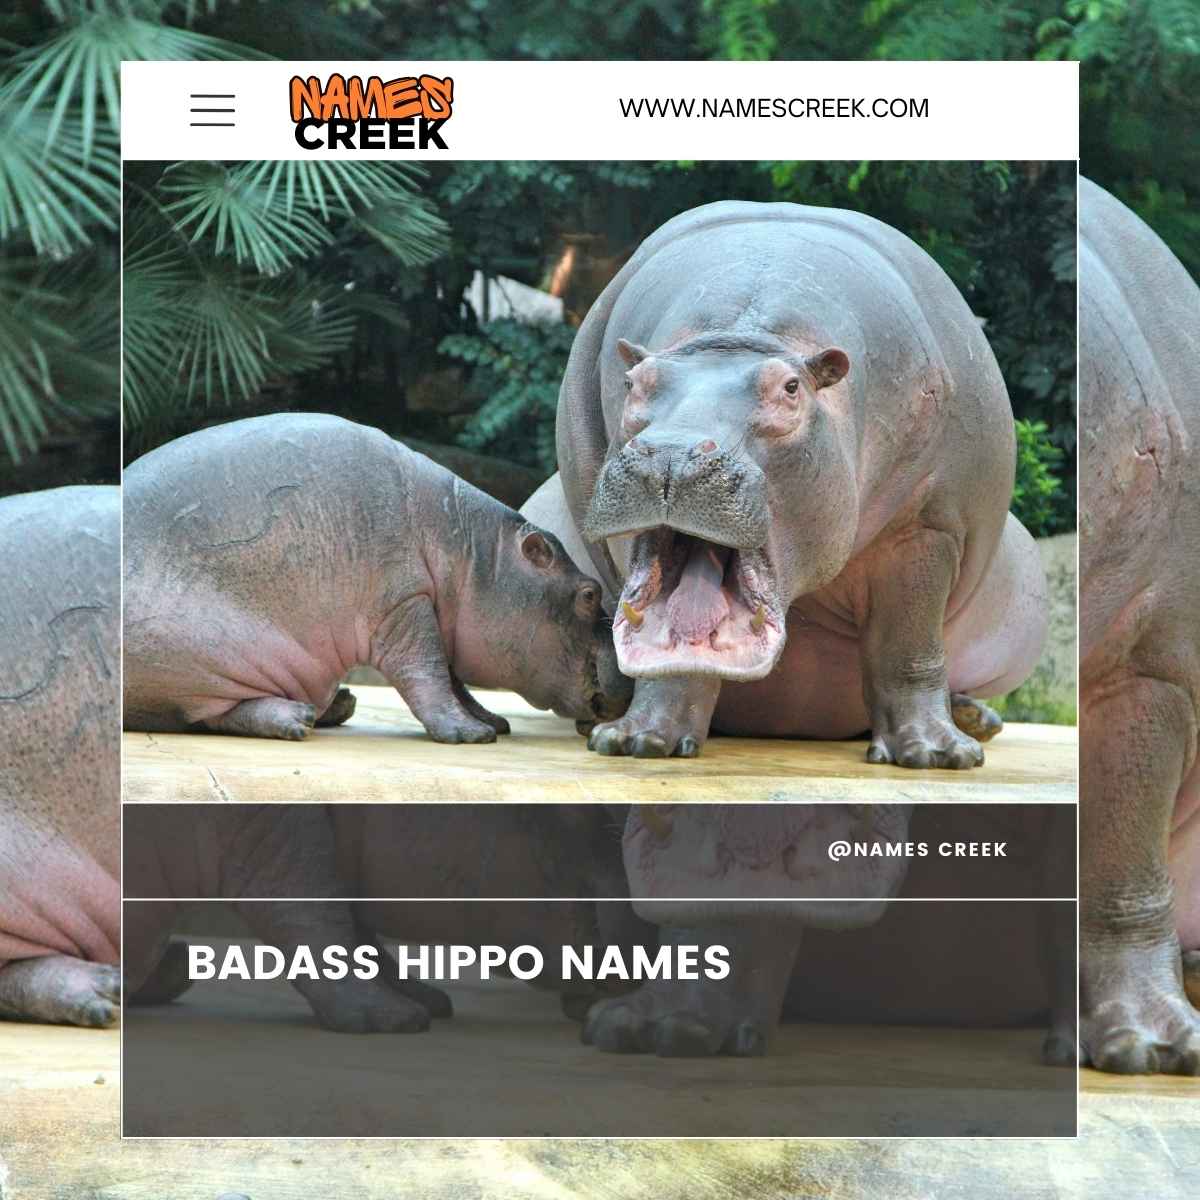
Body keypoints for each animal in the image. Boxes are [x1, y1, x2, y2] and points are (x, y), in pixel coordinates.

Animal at [123, 413, 630, 744]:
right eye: (589, 594)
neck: (475, 555)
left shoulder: (436, 611)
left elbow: (454, 679)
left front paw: (491, 723)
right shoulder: (404, 605)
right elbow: (427, 672)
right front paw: (469, 734)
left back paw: (336, 705)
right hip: (206, 649)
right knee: (207, 714)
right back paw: (298, 719)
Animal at [522, 199, 1047, 763]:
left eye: (791, 388)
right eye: (633, 383)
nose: (671, 455)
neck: (744, 335)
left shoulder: (930, 526)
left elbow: (906, 644)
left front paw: (934, 755)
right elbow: (670, 662)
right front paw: (635, 740)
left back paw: (975, 722)